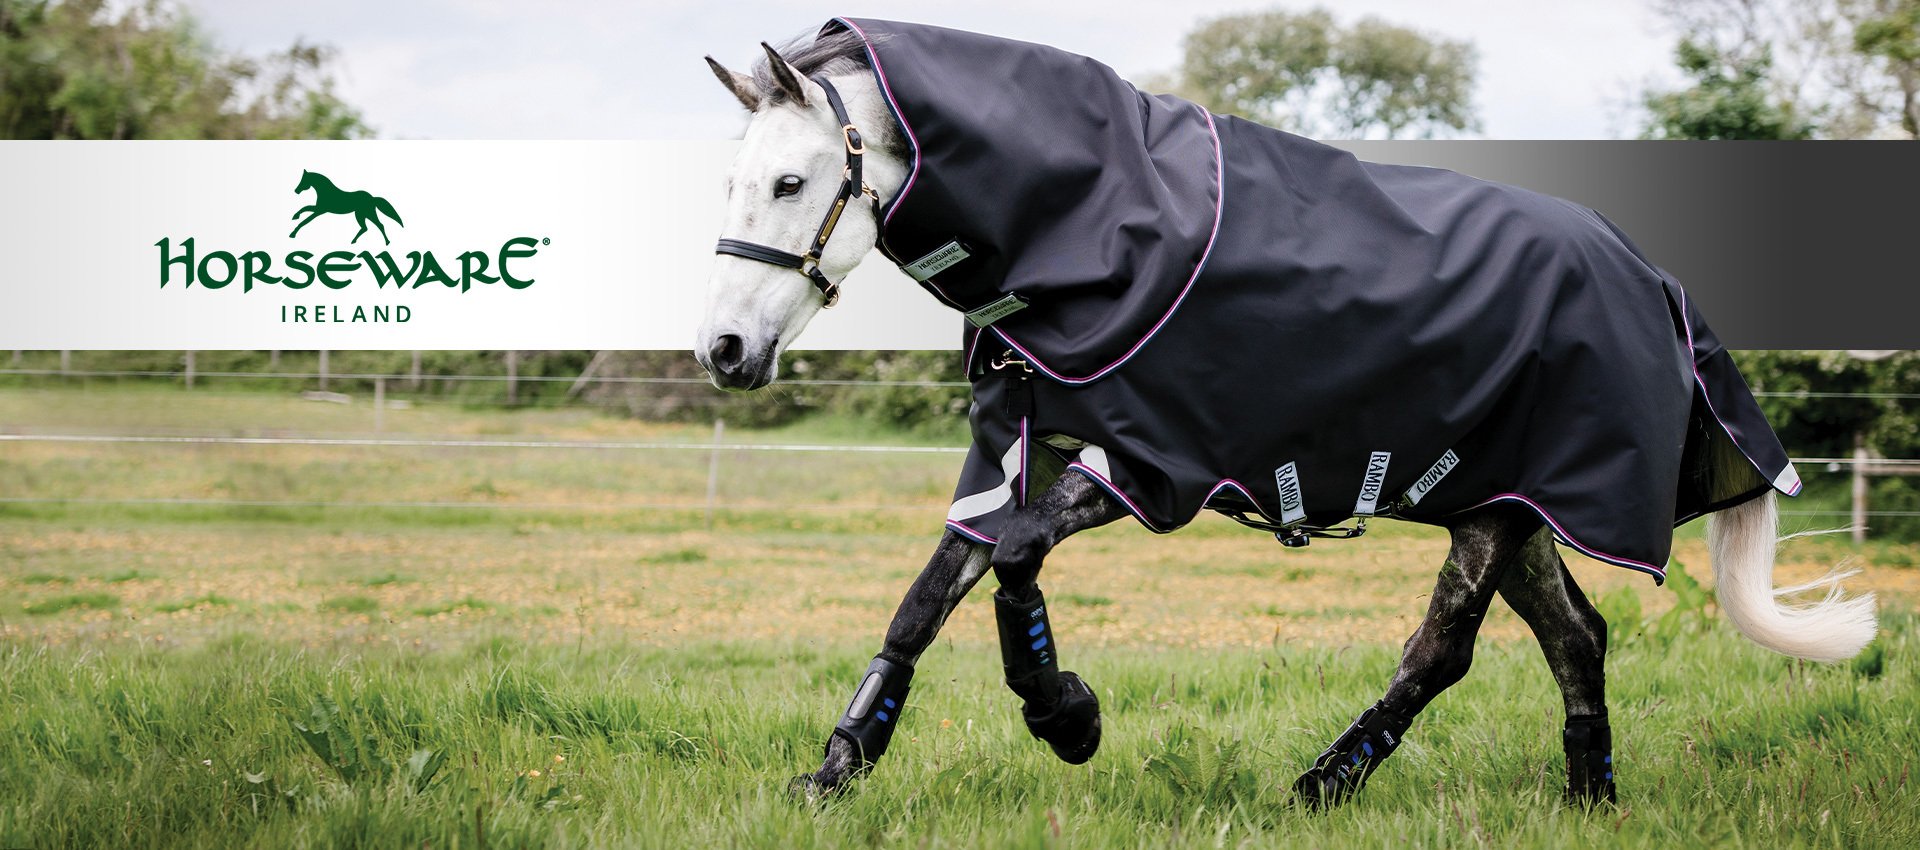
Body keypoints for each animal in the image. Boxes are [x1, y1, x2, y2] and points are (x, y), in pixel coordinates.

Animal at [695, 20, 1878, 808]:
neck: (1102, 228)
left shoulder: (1153, 461)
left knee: (1442, 649)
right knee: (1576, 637)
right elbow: (927, 597)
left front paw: (1064, 714)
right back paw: (1588, 796)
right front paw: (837, 767)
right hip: (1507, 497)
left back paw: (1327, 780)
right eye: (738, 182)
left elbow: (1018, 561)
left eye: (793, 182)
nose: (724, 352)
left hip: (1500, 509)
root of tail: (1655, 277)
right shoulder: (1010, 446)